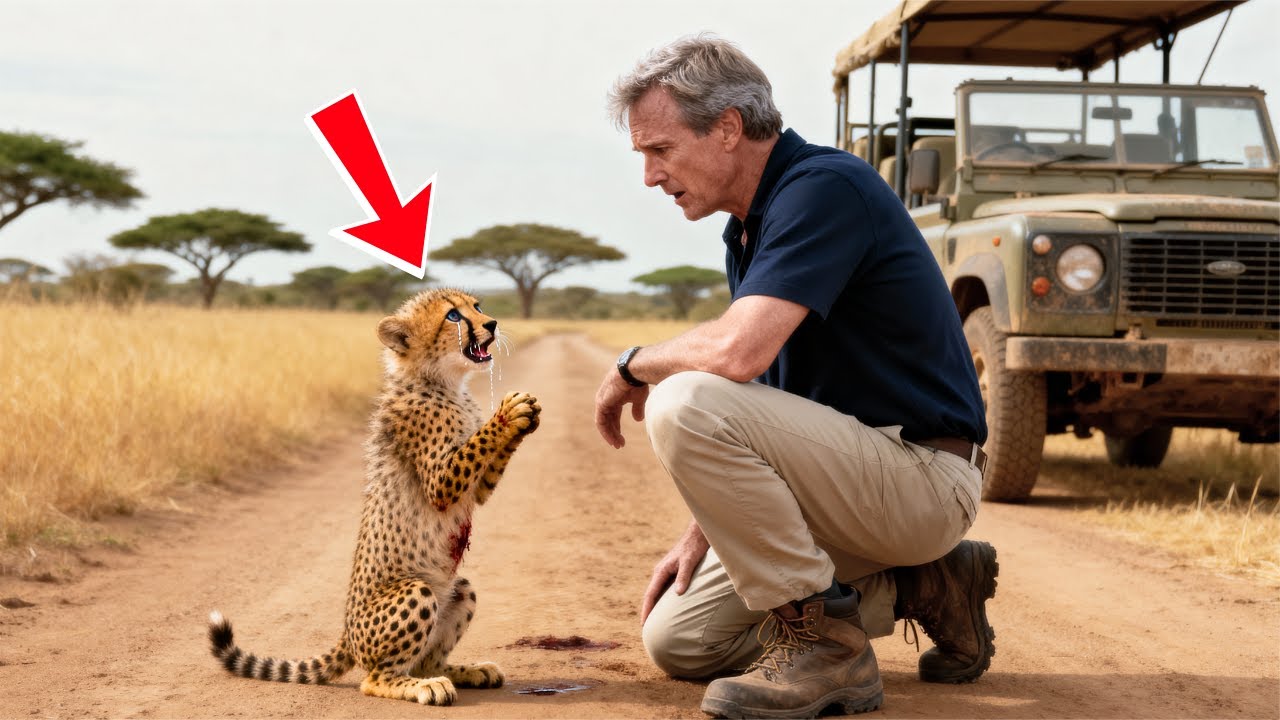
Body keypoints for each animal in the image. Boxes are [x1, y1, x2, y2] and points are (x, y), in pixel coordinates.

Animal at [207, 287, 540, 706]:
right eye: (453, 316)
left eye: (477, 307)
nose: (492, 324)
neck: (442, 382)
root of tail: (347, 635)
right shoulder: (441, 482)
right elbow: (473, 448)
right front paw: (508, 412)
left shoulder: (474, 489)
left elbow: (482, 475)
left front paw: (522, 418)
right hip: (416, 590)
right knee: (377, 677)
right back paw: (423, 686)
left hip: (460, 588)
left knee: (426, 660)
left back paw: (466, 671)